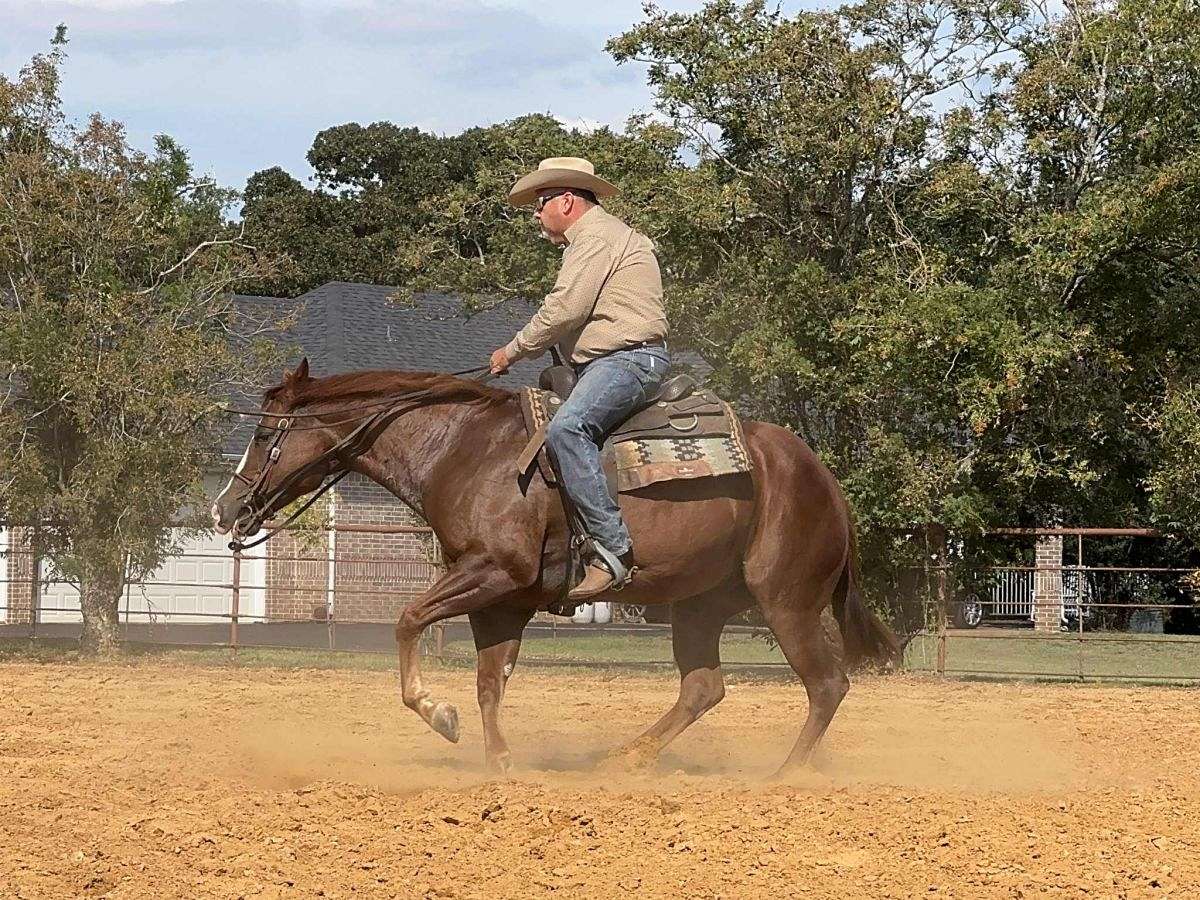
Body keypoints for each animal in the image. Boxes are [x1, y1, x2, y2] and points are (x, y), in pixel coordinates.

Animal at [213, 359, 899, 776]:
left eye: (266, 434)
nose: (224, 509)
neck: (465, 449)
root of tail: (822, 478)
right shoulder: (501, 601)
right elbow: (490, 682)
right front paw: (500, 763)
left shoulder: (494, 572)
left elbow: (409, 621)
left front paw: (439, 715)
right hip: (699, 603)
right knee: (704, 687)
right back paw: (622, 760)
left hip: (787, 601)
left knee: (827, 684)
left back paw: (782, 776)